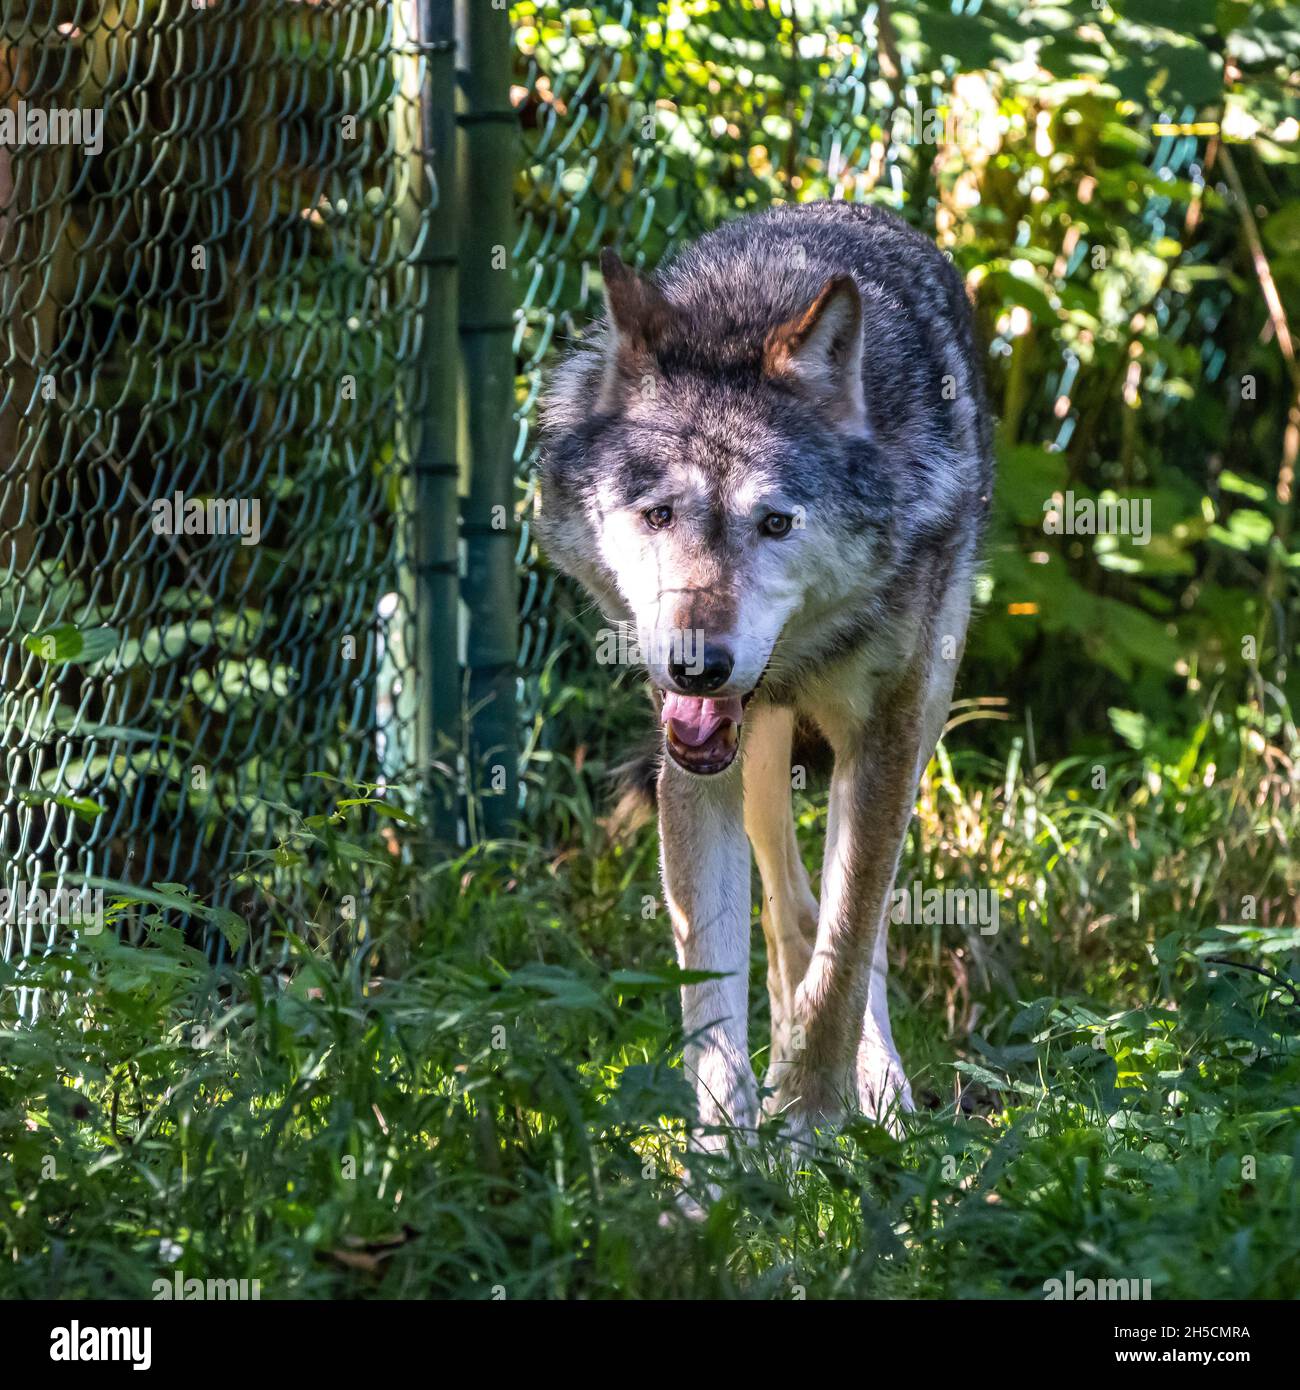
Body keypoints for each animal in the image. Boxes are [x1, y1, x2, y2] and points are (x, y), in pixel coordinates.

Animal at [538, 202, 992, 1147]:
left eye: (777, 523)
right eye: (658, 514)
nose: (697, 663)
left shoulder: (886, 733)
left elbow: (848, 949)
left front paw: (815, 1118)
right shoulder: (693, 763)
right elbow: (712, 994)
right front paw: (723, 1158)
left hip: (921, 716)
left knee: (852, 930)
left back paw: (879, 1091)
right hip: (757, 761)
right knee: (789, 914)